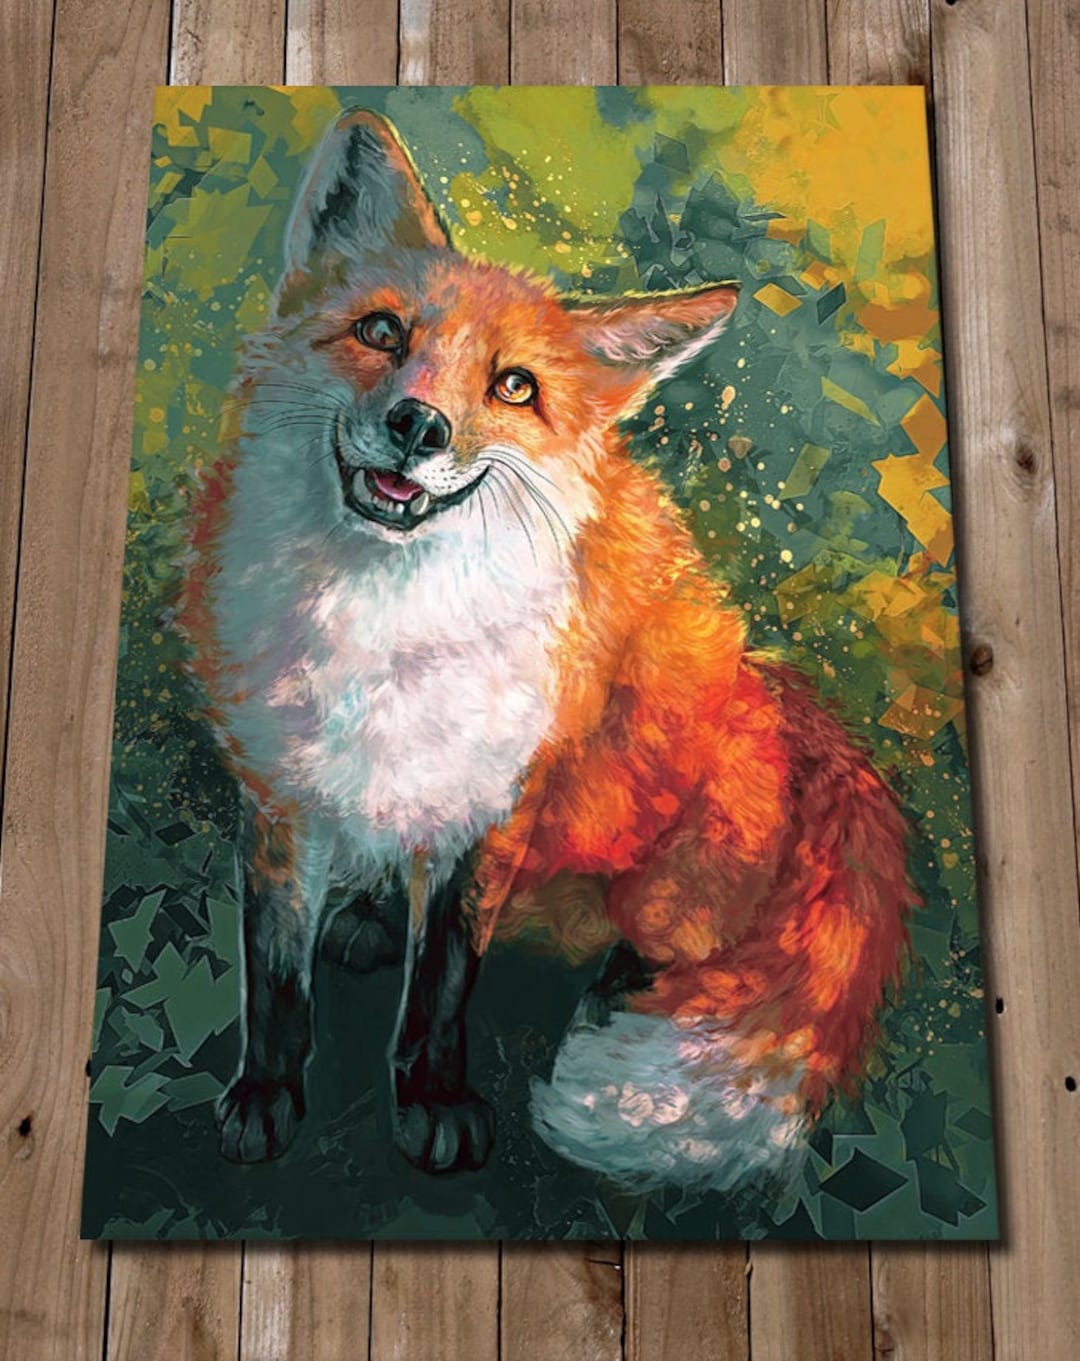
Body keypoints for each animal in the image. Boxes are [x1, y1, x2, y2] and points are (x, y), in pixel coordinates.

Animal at [178, 107, 915, 1188]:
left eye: (515, 386)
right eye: (382, 333)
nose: (418, 425)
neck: (381, 622)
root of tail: (772, 690)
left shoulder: (499, 802)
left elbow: (443, 980)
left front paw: (433, 1097)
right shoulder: (282, 792)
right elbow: (275, 977)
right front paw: (267, 1096)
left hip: (666, 875)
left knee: (667, 945)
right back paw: (368, 914)